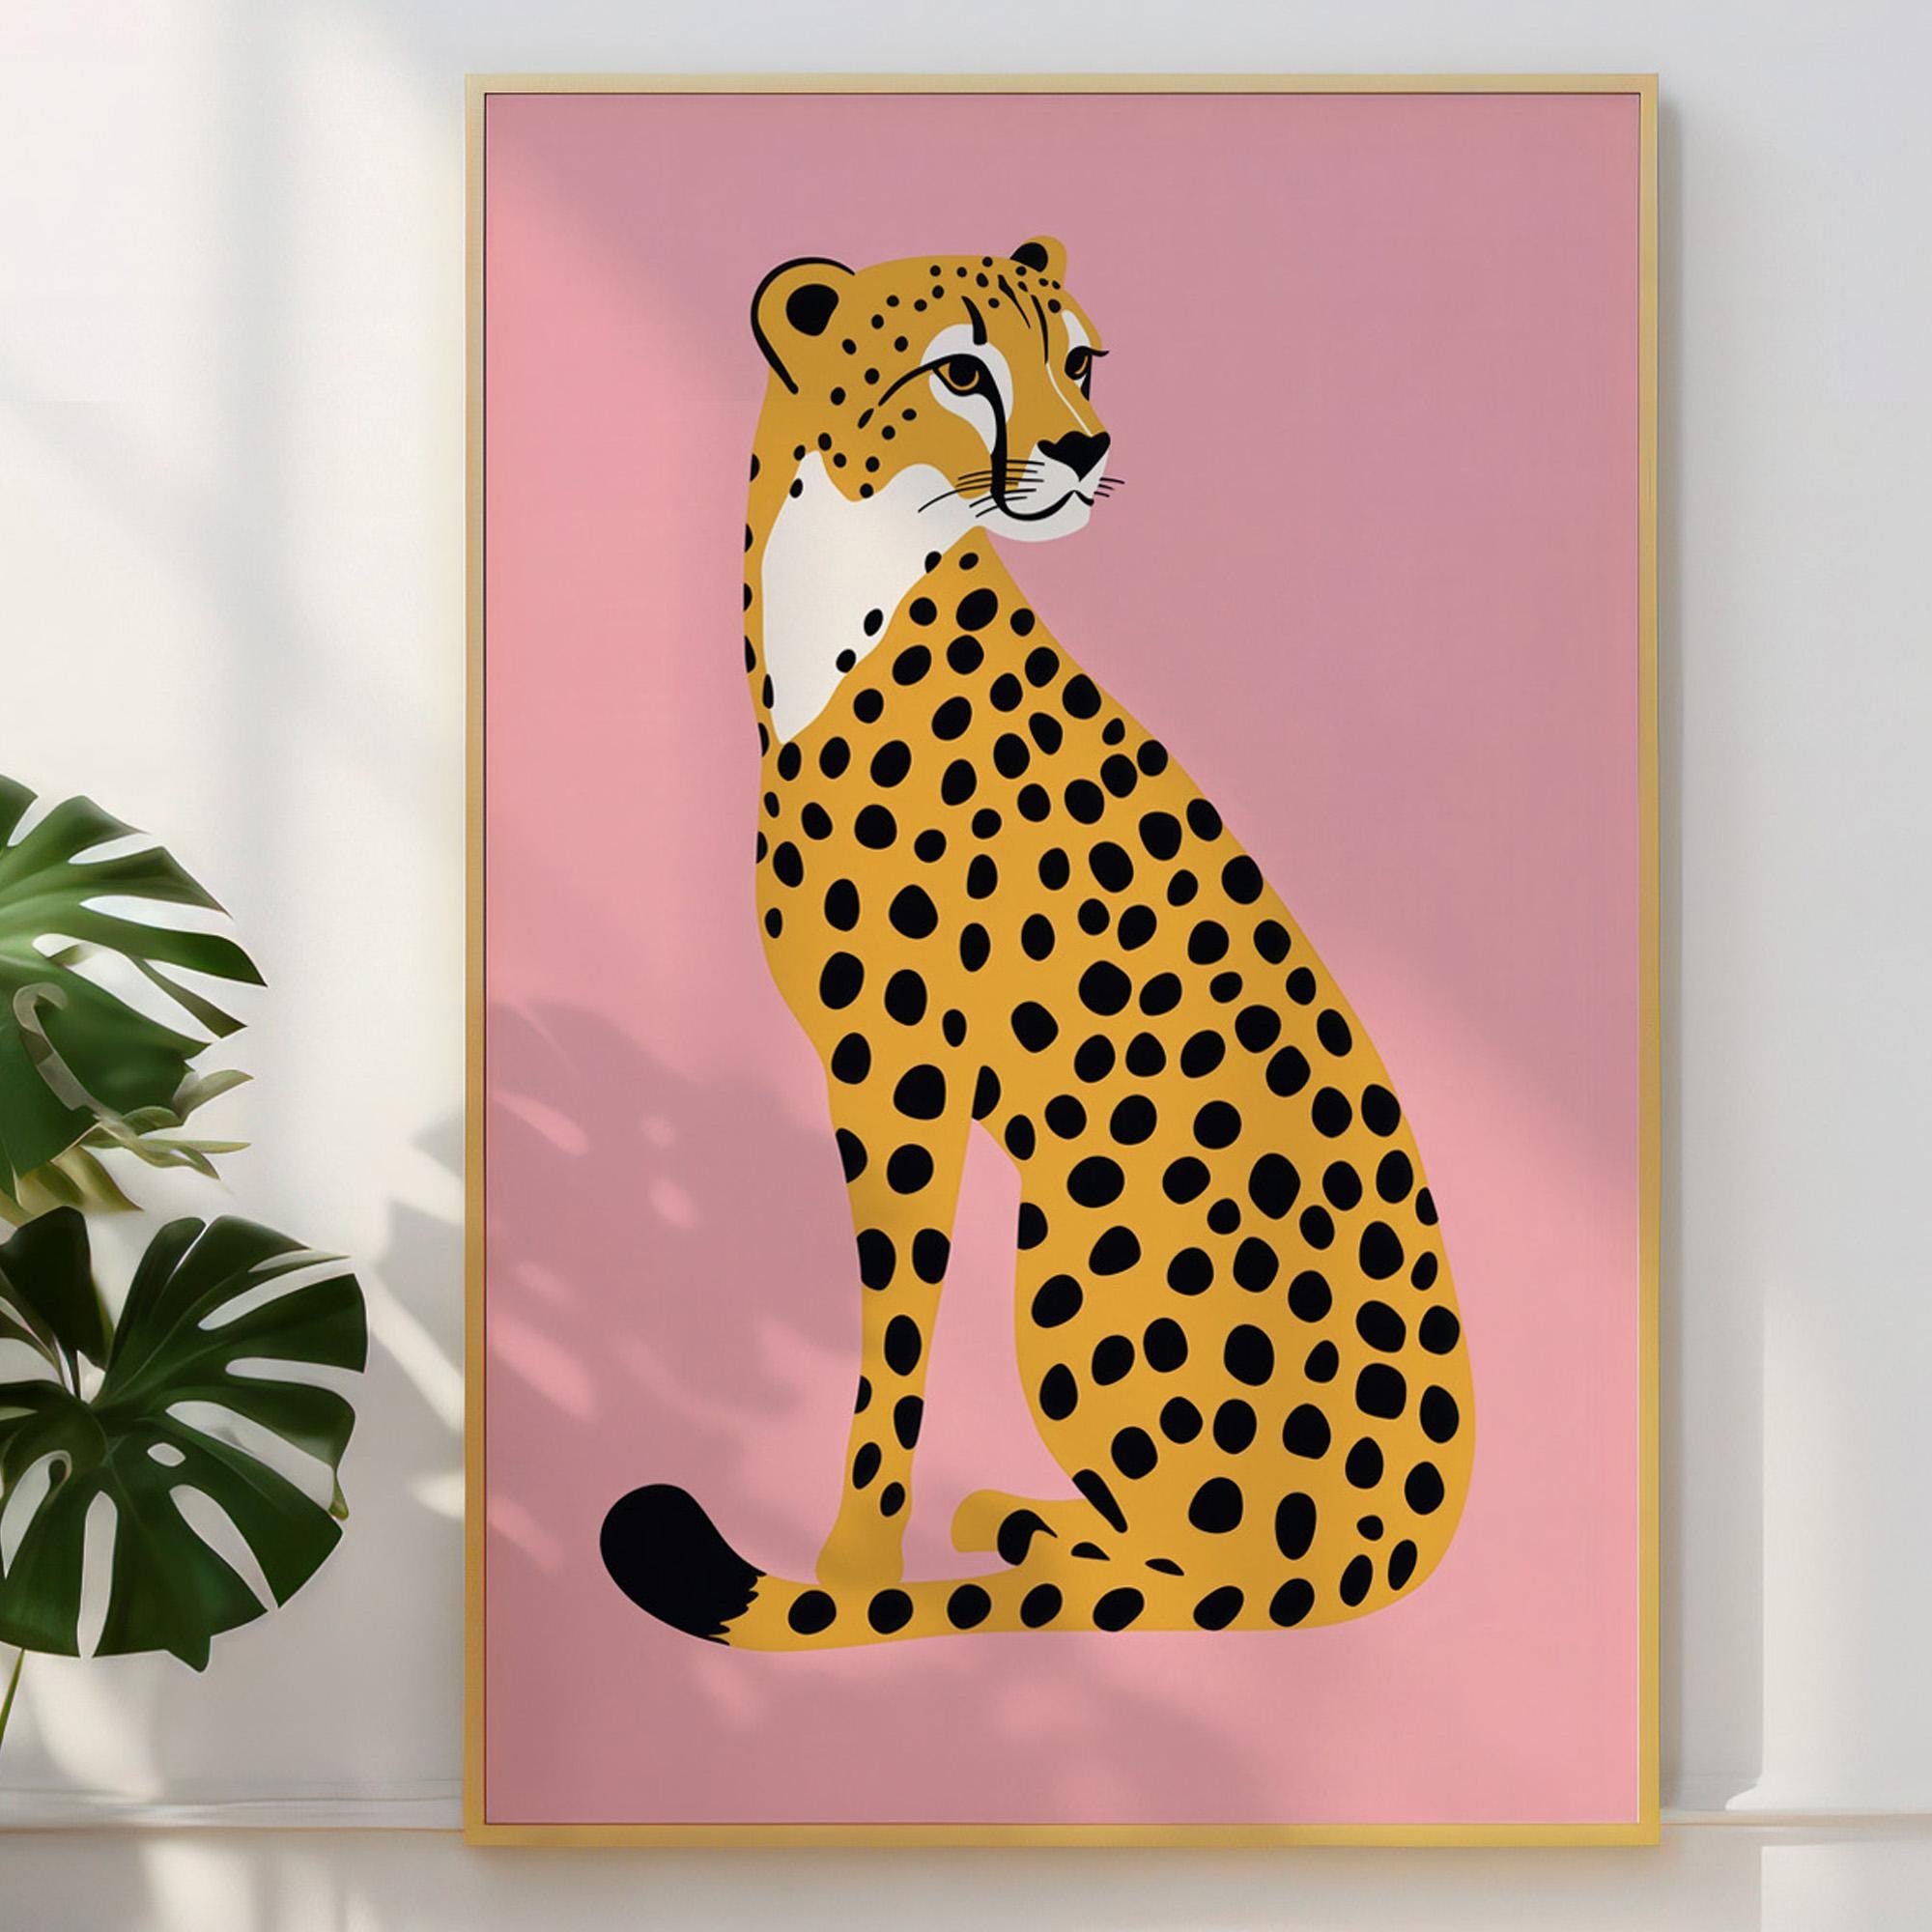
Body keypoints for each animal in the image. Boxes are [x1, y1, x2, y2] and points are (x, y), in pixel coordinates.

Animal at [600, 237, 1474, 1647]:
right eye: (961, 370)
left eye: (1079, 359)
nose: (1083, 446)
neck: (849, 574)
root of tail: (1405, 1539)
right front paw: (864, 1569)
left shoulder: (900, 1068)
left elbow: (895, 1328)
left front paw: (850, 1576)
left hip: (1078, 1261)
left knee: (1215, 1588)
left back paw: (1032, 1540)